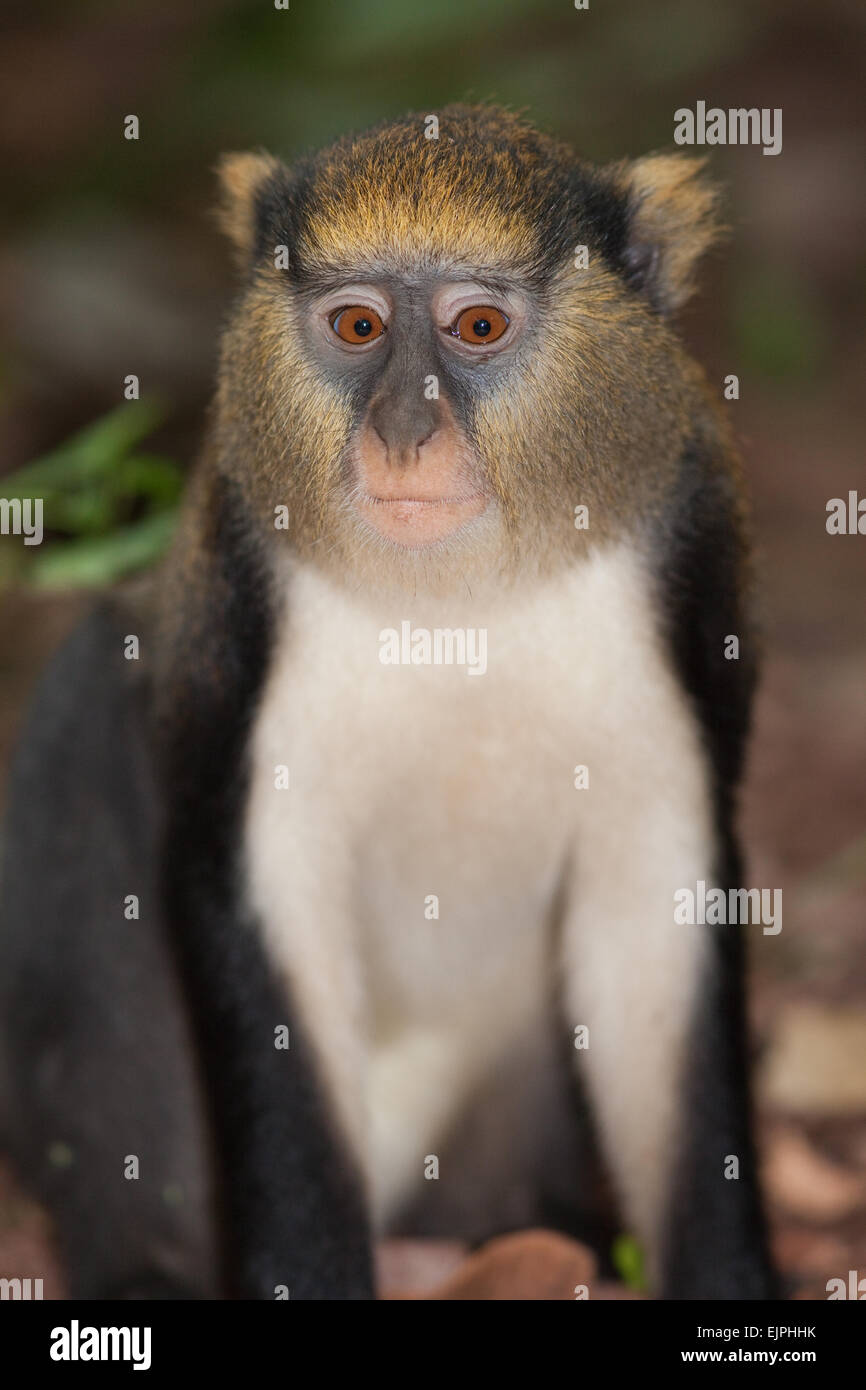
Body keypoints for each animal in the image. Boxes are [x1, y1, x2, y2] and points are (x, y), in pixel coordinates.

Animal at [0, 104, 776, 1300]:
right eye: (359, 325)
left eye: (476, 325)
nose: (405, 429)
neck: (465, 594)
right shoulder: (239, 575)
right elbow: (266, 904)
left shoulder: (690, 554)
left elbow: (656, 914)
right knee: (88, 690)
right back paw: (144, 1268)